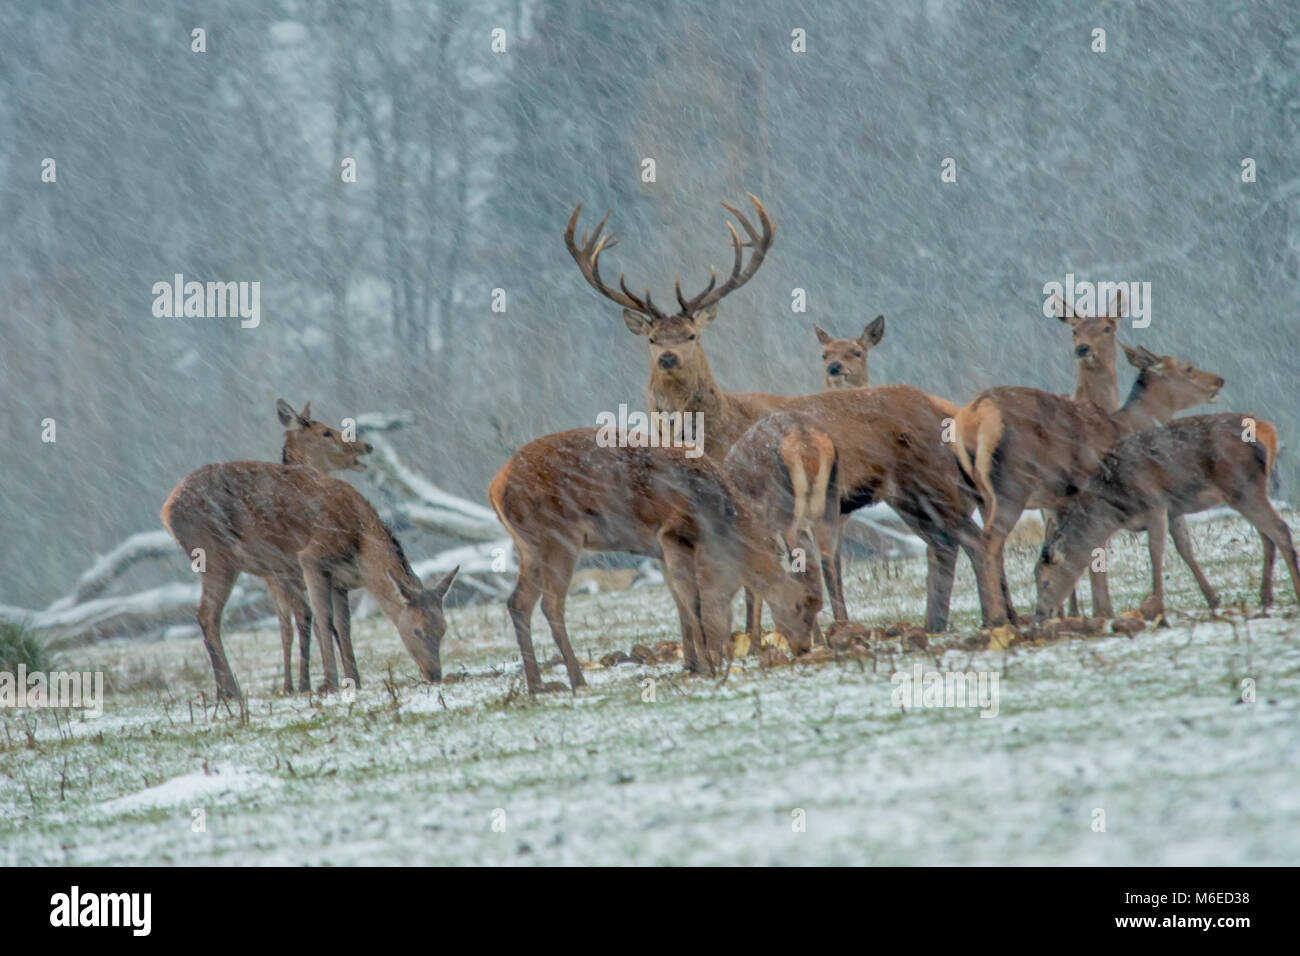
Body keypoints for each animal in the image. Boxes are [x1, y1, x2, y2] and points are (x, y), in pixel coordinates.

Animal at [161, 460, 457, 701]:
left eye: (443, 629)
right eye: (417, 630)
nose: (434, 674)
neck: (359, 547)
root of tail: (166, 511)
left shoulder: (339, 582)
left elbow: (344, 626)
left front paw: (354, 680)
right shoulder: (312, 559)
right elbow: (323, 620)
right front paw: (329, 683)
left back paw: (223, 690)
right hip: (215, 555)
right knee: (208, 616)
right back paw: (231, 690)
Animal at [487, 429, 824, 692]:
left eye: (819, 605)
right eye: (801, 605)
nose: (803, 648)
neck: (717, 520)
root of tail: (495, 488)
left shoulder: (660, 549)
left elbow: (679, 602)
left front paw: (692, 664)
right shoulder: (675, 533)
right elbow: (692, 599)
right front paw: (708, 664)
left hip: (530, 547)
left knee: (518, 602)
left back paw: (537, 685)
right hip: (558, 537)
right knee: (551, 604)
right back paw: (577, 679)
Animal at [565, 196, 1002, 636]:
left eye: (691, 335)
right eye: (654, 339)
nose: (669, 357)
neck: (716, 433)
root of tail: (947, 409)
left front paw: (759, 636)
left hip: (934, 478)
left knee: (973, 539)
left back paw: (991, 621)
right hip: (906, 494)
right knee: (944, 544)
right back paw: (936, 625)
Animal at [953, 344, 1225, 624]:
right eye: (1188, 368)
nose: (1218, 380)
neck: (1127, 425)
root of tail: (975, 416)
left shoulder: (1059, 501)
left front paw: (1073, 612)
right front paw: (1103, 610)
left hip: (980, 494)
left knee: (982, 544)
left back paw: (1004, 615)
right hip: (1012, 487)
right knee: (988, 544)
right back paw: (999, 617)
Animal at [1033, 413, 1299, 619]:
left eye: (1045, 582)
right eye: (1034, 576)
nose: (1040, 614)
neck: (1117, 509)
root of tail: (1269, 432)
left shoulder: (1156, 505)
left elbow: (1156, 552)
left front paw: (1157, 607)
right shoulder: (1174, 511)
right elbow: (1185, 549)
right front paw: (1213, 599)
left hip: (1242, 486)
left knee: (1280, 529)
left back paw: (1293, 591)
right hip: (1250, 490)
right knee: (1267, 536)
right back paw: (1266, 598)